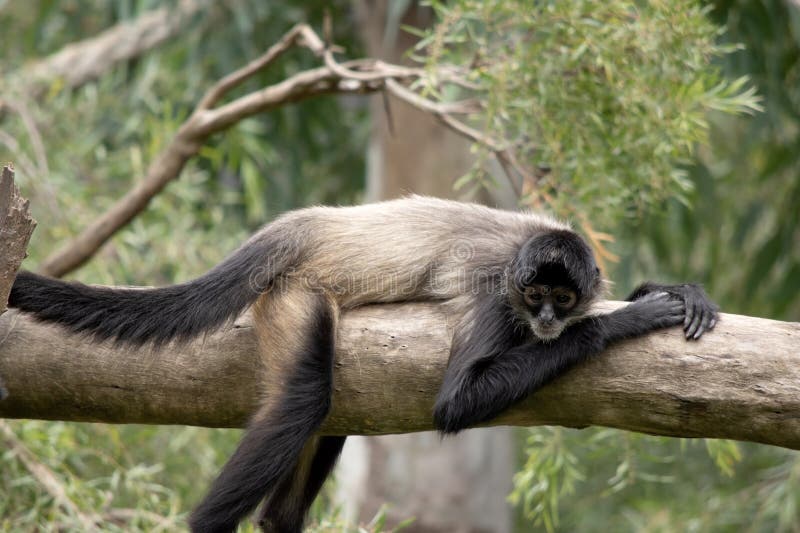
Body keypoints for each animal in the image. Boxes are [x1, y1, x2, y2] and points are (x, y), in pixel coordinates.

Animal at [6, 196, 717, 533]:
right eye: (536, 295)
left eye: (561, 297)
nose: (545, 319)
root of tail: (300, 226)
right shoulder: (497, 296)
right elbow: (454, 404)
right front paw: (624, 321)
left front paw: (677, 291)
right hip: (294, 295)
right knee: (305, 400)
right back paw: (209, 523)